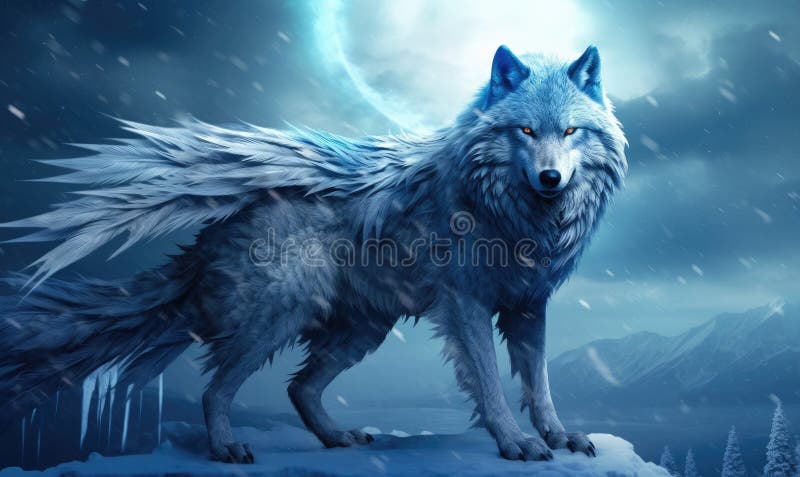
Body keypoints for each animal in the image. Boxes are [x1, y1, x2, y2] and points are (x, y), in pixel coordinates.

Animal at [0, 45, 625, 463]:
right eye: (526, 131)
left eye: (572, 131)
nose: (550, 179)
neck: (523, 219)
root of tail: (214, 233)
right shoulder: (466, 305)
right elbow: (492, 384)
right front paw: (515, 442)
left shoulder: (529, 306)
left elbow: (540, 383)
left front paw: (557, 436)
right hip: (278, 320)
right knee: (215, 389)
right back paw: (226, 449)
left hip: (360, 330)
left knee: (298, 388)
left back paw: (336, 438)